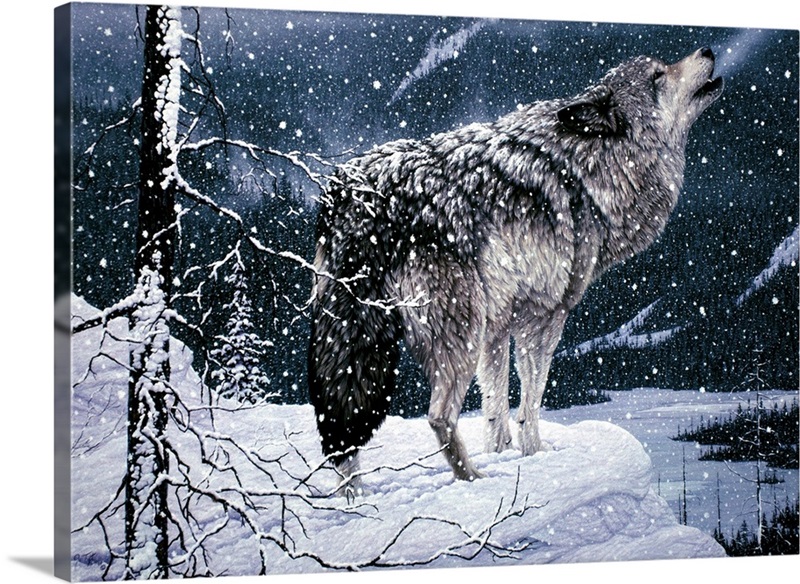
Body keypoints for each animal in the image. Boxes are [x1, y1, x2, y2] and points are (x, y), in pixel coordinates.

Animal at [308, 48, 723, 490]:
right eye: (658, 76)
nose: (708, 51)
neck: (589, 165)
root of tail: (357, 194)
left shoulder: (500, 323)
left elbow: (495, 406)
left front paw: (501, 451)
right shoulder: (545, 315)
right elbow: (531, 400)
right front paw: (533, 453)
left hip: (364, 338)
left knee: (343, 422)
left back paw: (355, 495)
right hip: (458, 330)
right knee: (437, 415)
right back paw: (472, 478)